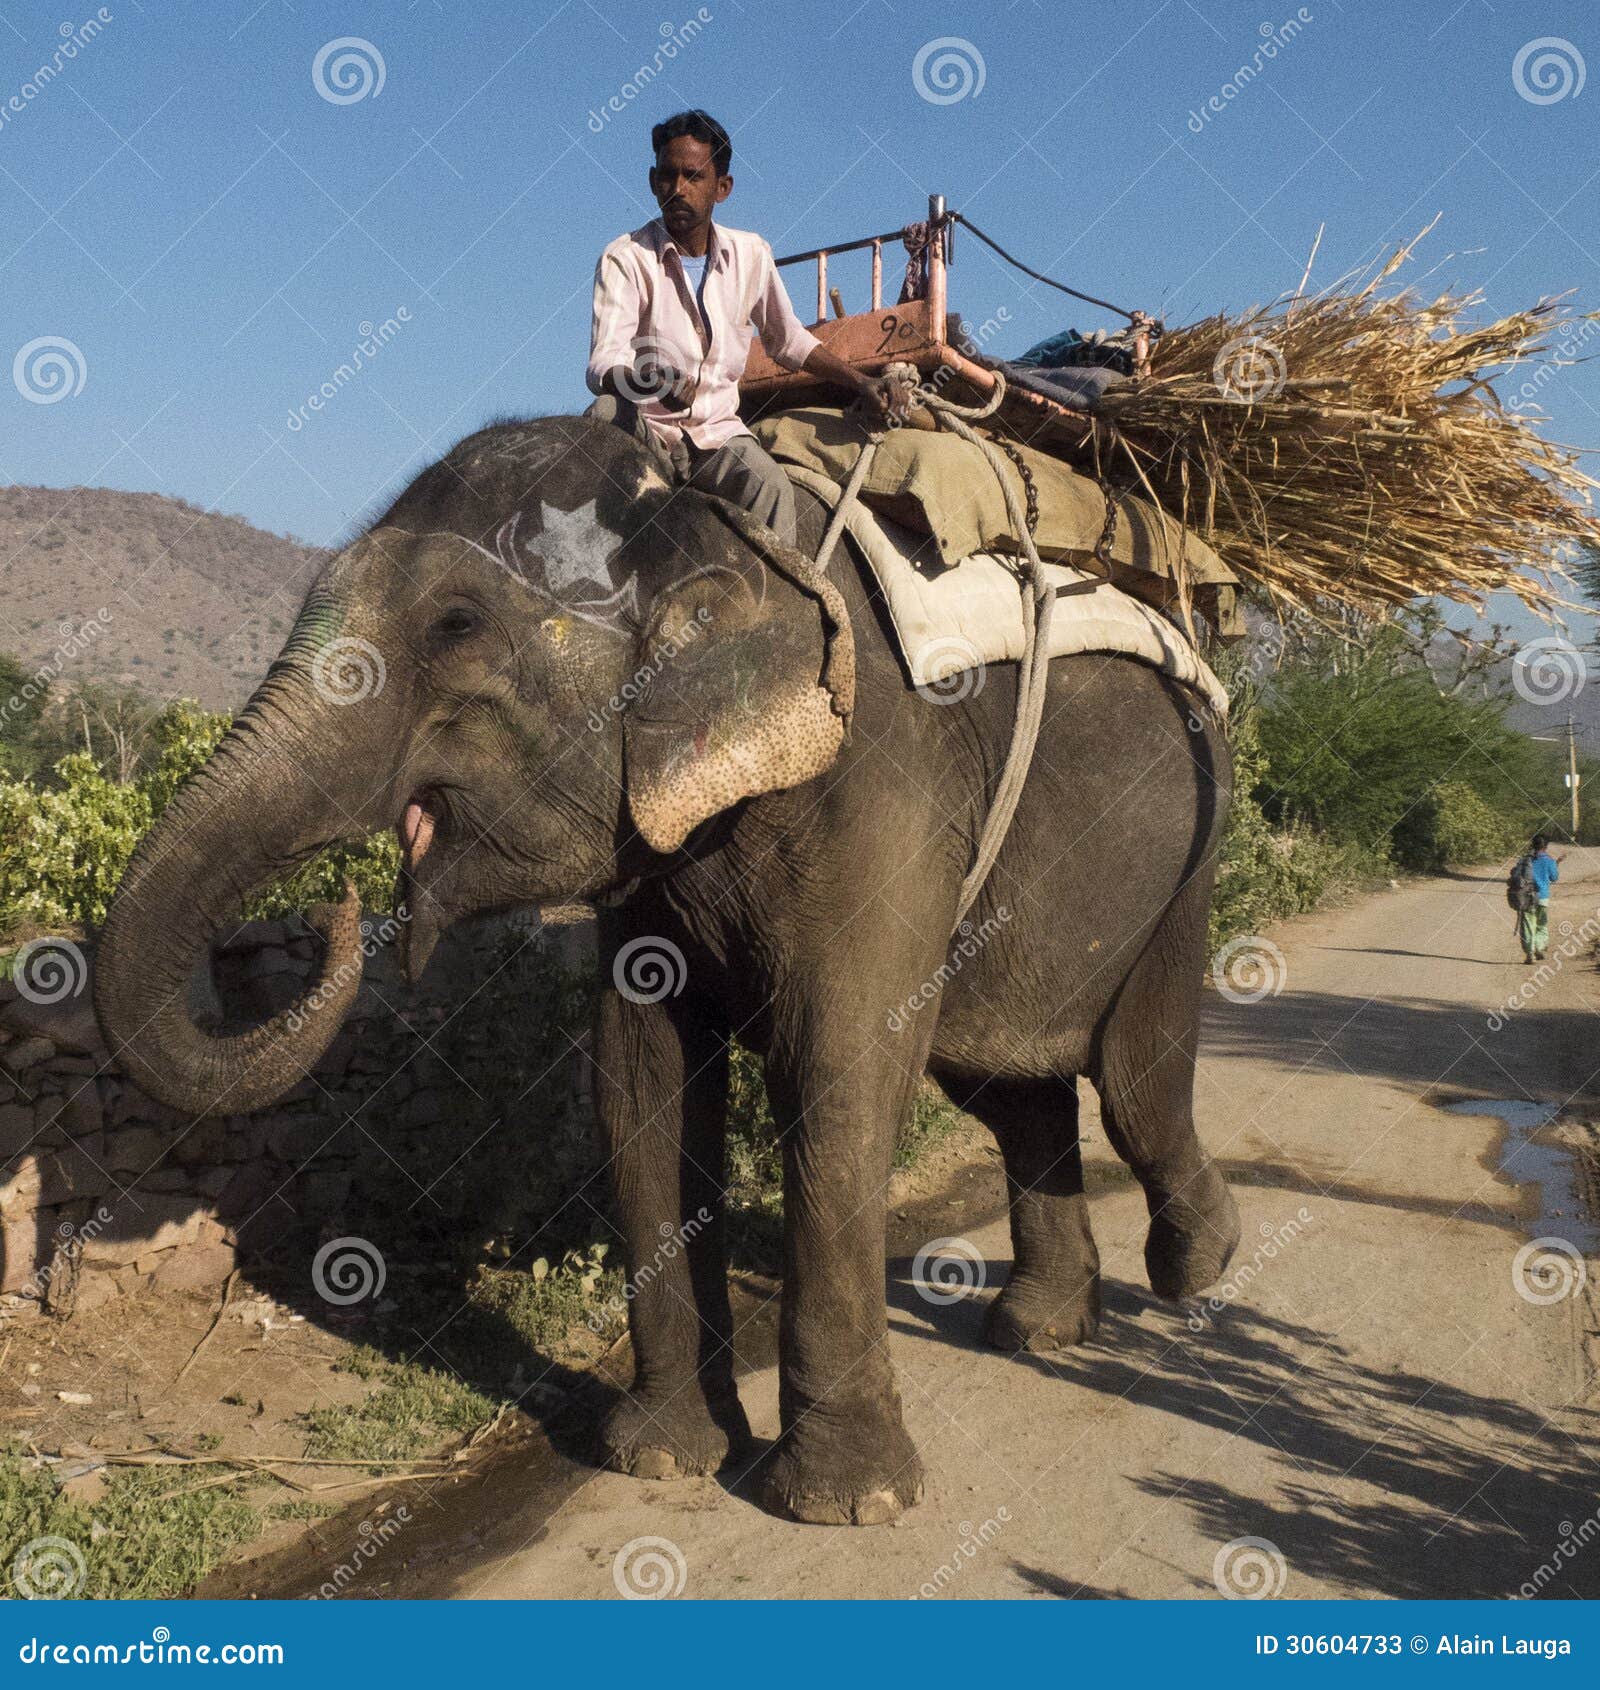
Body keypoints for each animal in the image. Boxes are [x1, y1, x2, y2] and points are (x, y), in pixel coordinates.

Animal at [93, 413, 1242, 1527]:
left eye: (456, 626)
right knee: (1006, 1082)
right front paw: (660, 1460)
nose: (339, 907)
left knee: (1131, 1081)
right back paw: (1043, 1328)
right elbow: (638, 1072)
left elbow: (839, 1065)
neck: (711, 524)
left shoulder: (882, 782)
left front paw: (846, 1503)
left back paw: (1197, 1269)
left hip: (1187, 851)